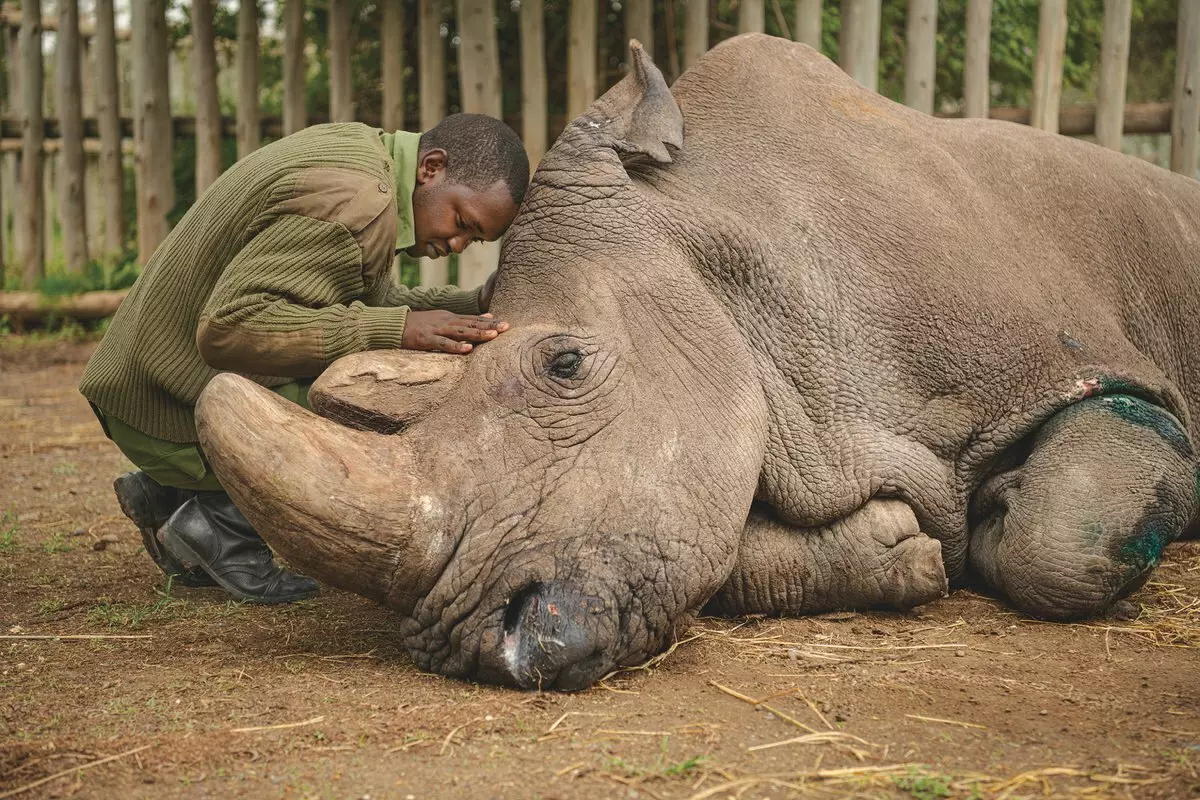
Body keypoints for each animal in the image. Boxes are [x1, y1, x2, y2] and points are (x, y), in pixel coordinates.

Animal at [196, 34, 1200, 690]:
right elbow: (717, 551)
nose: (479, 646)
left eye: (566, 365)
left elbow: (1059, 541)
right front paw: (904, 549)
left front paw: (998, 518)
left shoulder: (1078, 369)